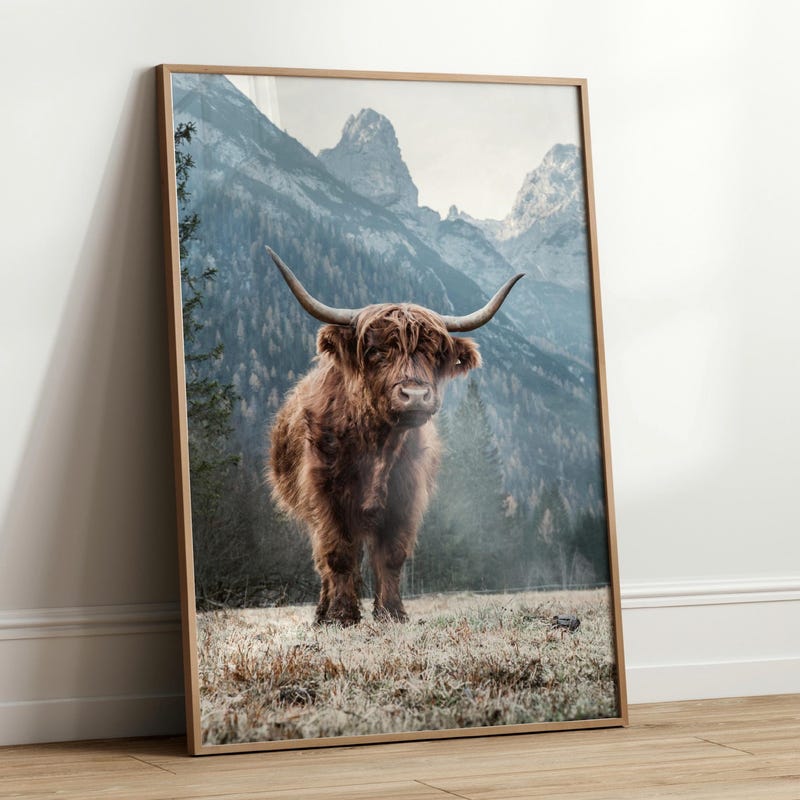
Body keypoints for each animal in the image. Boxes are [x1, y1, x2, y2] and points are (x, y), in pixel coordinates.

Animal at [266, 247, 523, 626]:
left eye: (434, 353)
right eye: (376, 351)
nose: (415, 395)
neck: (376, 444)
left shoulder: (406, 496)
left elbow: (391, 555)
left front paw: (391, 612)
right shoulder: (325, 496)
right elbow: (337, 554)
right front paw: (341, 615)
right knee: (325, 561)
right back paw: (323, 613)